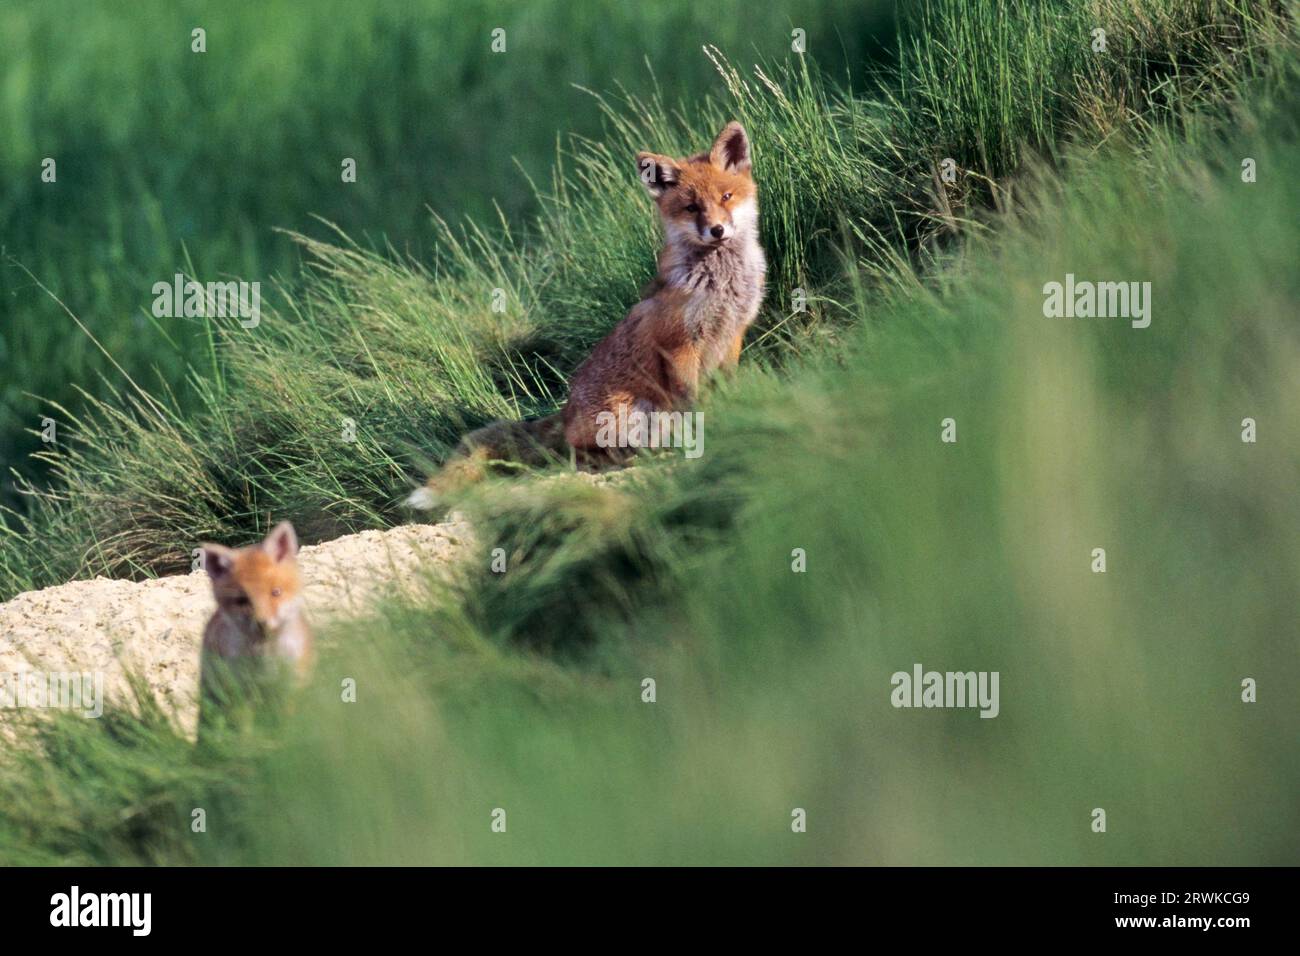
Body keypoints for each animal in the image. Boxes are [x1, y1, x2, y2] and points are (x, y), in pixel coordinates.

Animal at [197, 521, 313, 735]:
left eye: (275, 592)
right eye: (242, 600)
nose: (262, 622)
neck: (266, 658)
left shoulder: (292, 685)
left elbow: (289, 726)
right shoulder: (240, 692)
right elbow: (245, 732)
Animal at [407, 120, 765, 509]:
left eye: (726, 197)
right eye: (691, 207)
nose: (717, 230)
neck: (720, 283)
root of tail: (565, 413)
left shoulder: (732, 336)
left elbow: (724, 389)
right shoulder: (680, 345)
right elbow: (692, 402)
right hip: (625, 413)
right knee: (580, 456)